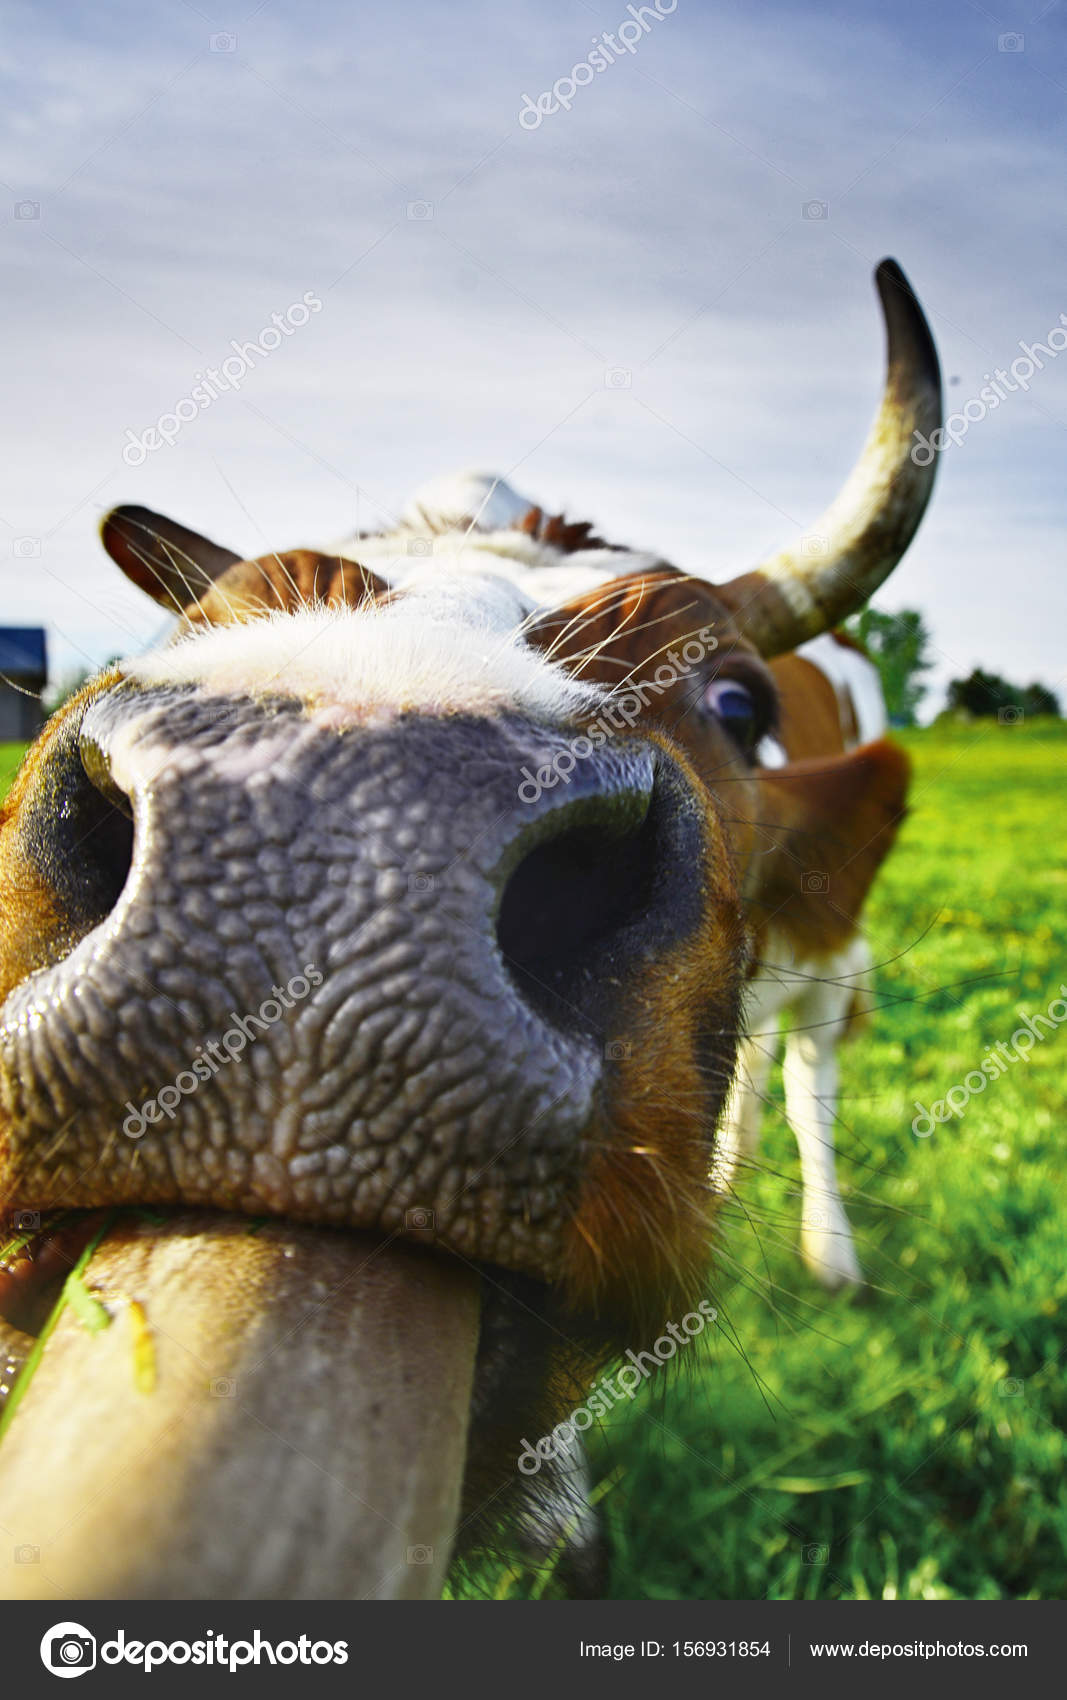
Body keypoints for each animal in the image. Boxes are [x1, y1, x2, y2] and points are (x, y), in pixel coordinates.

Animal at [0, 259, 939, 1600]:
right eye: (192, 625)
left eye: (736, 701)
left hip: (833, 940)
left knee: (805, 1067)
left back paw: (831, 1253)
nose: (339, 839)